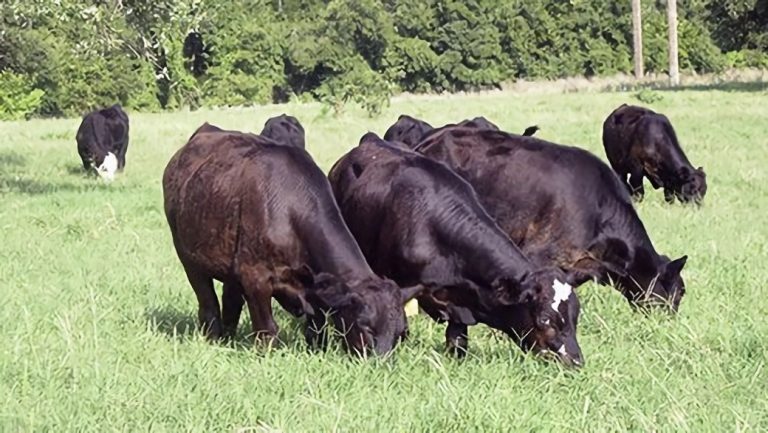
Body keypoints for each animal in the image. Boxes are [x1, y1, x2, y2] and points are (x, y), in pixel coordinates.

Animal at [162, 123, 420, 355]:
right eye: (366, 327)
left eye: (401, 334)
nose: (380, 364)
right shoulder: (255, 277)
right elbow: (267, 328)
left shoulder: (315, 287)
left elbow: (316, 328)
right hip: (187, 256)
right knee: (208, 302)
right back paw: (214, 336)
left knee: (231, 300)